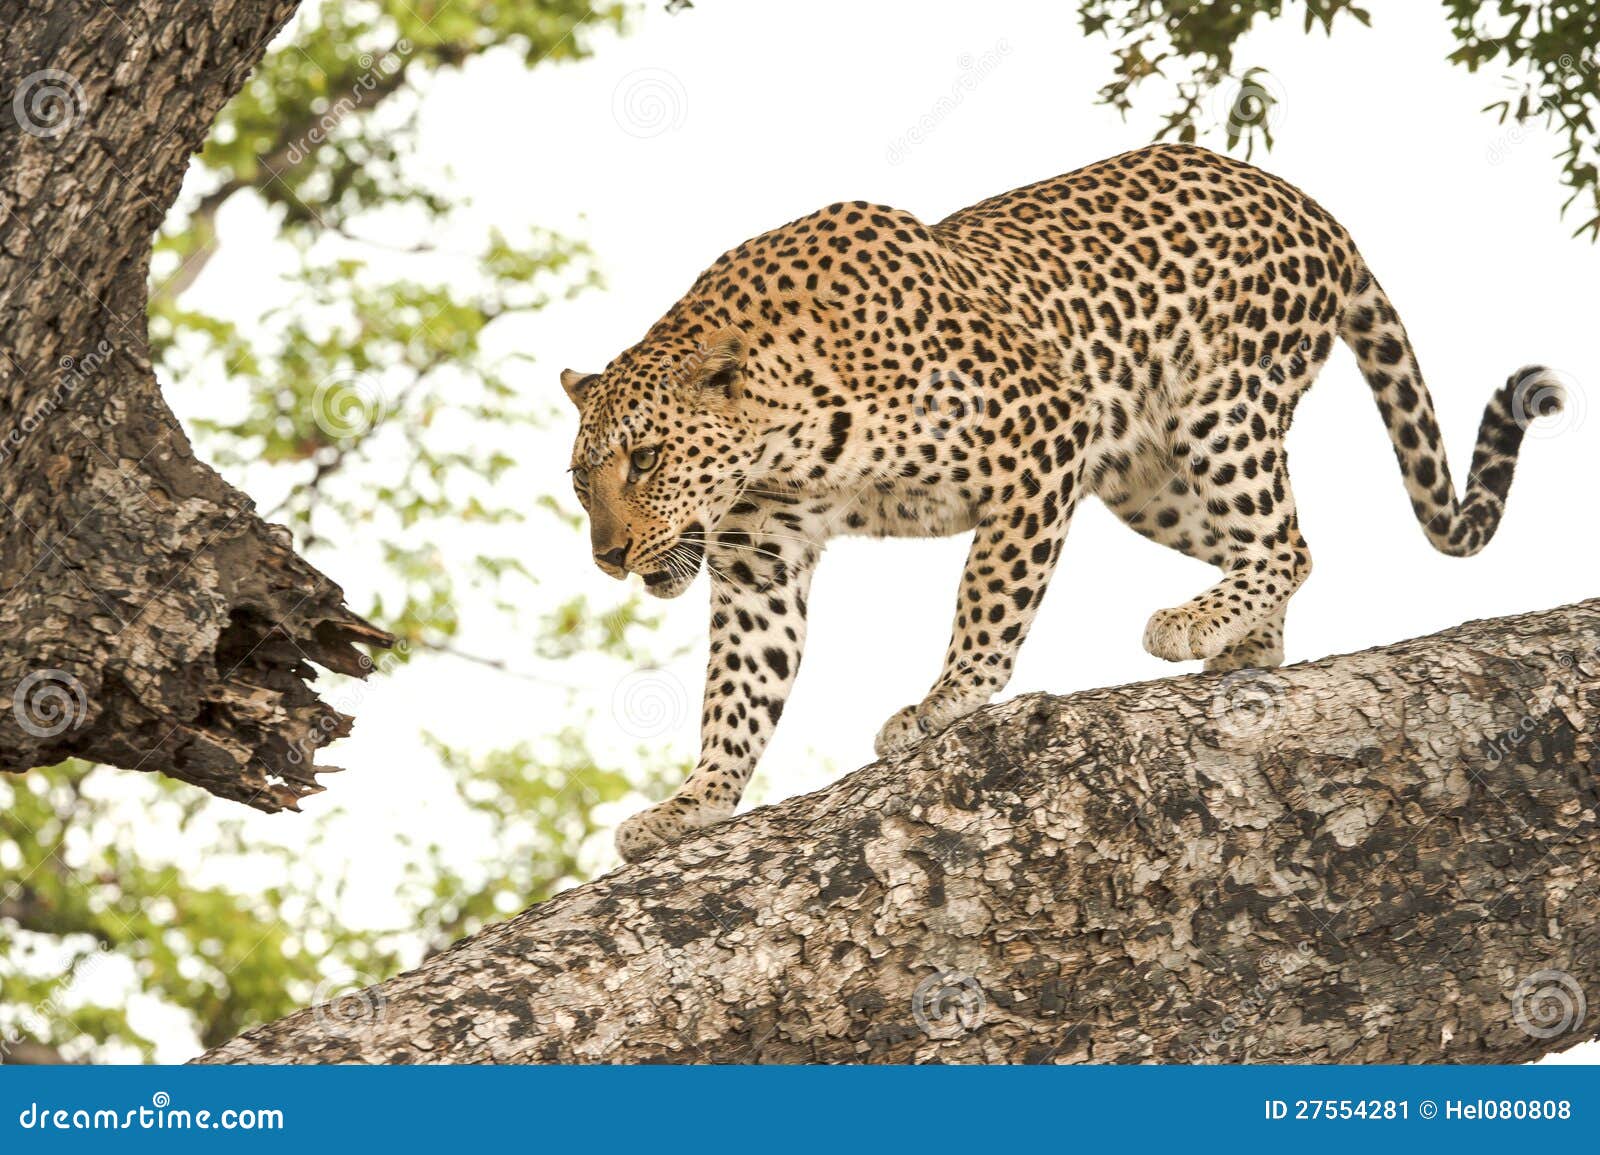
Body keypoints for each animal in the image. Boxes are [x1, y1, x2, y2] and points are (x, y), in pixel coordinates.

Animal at [561, 142, 1564, 863]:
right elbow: (740, 687)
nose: (608, 554)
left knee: (1289, 542)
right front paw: (695, 802)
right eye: (581, 479)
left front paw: (949, 698)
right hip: (1151, 483)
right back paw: (1241, 651)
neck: (781, 438)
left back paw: (1192, 625)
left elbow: (991, 592)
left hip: (1220, 405)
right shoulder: (758, 556)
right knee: (1279, 549)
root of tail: (1319, 211)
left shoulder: (1043, 432)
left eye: (645, 458)